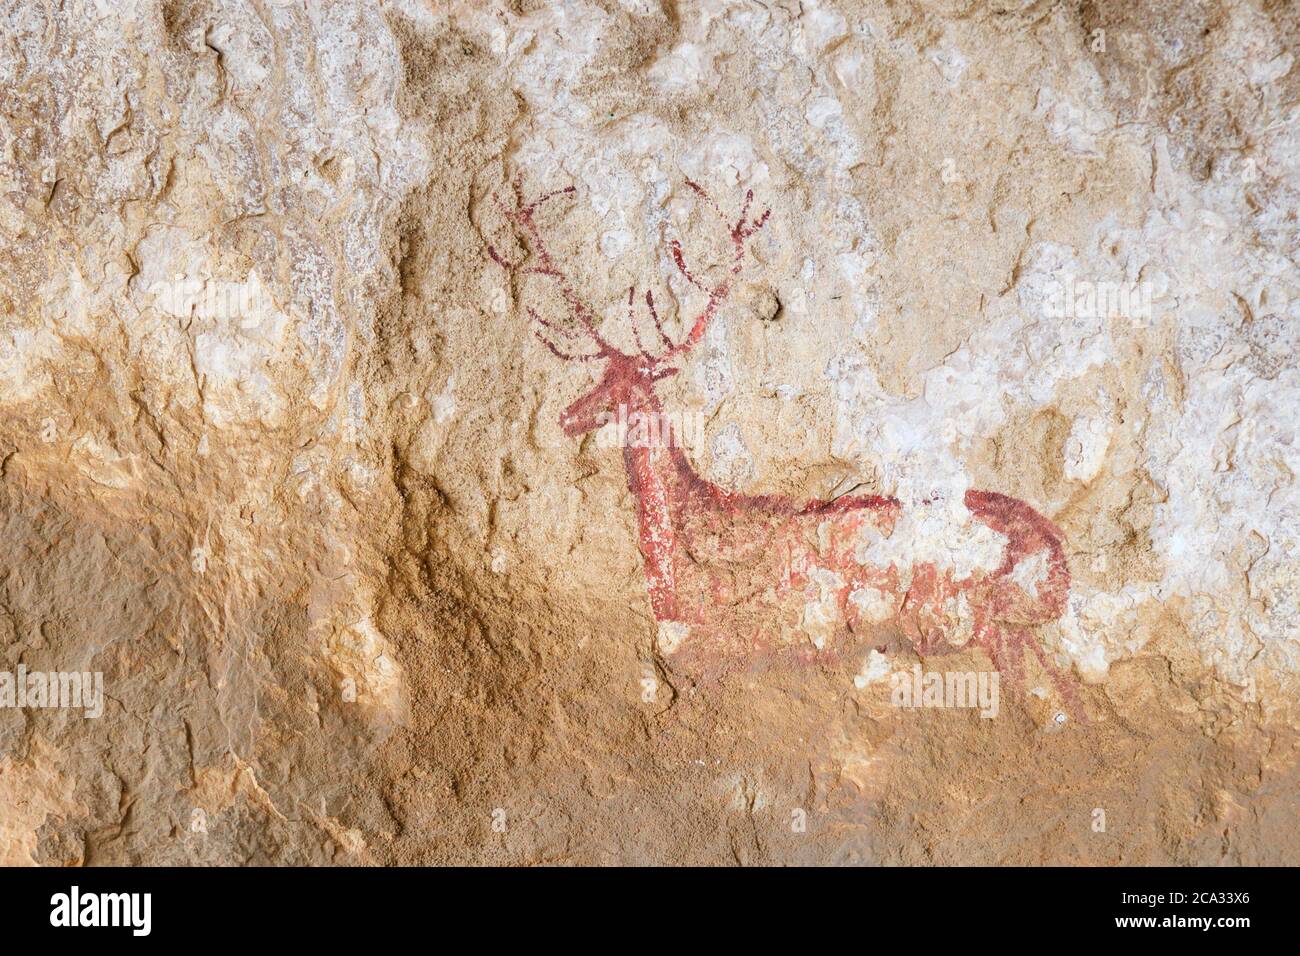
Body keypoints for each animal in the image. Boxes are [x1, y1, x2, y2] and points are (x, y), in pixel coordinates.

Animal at [487, 174, 1080, 714]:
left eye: (619, 388)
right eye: (600, 374)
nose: (565, 417)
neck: (682, 535)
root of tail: (1060, 555)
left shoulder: (723, 649)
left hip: (987, 622)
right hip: (1014, 631)